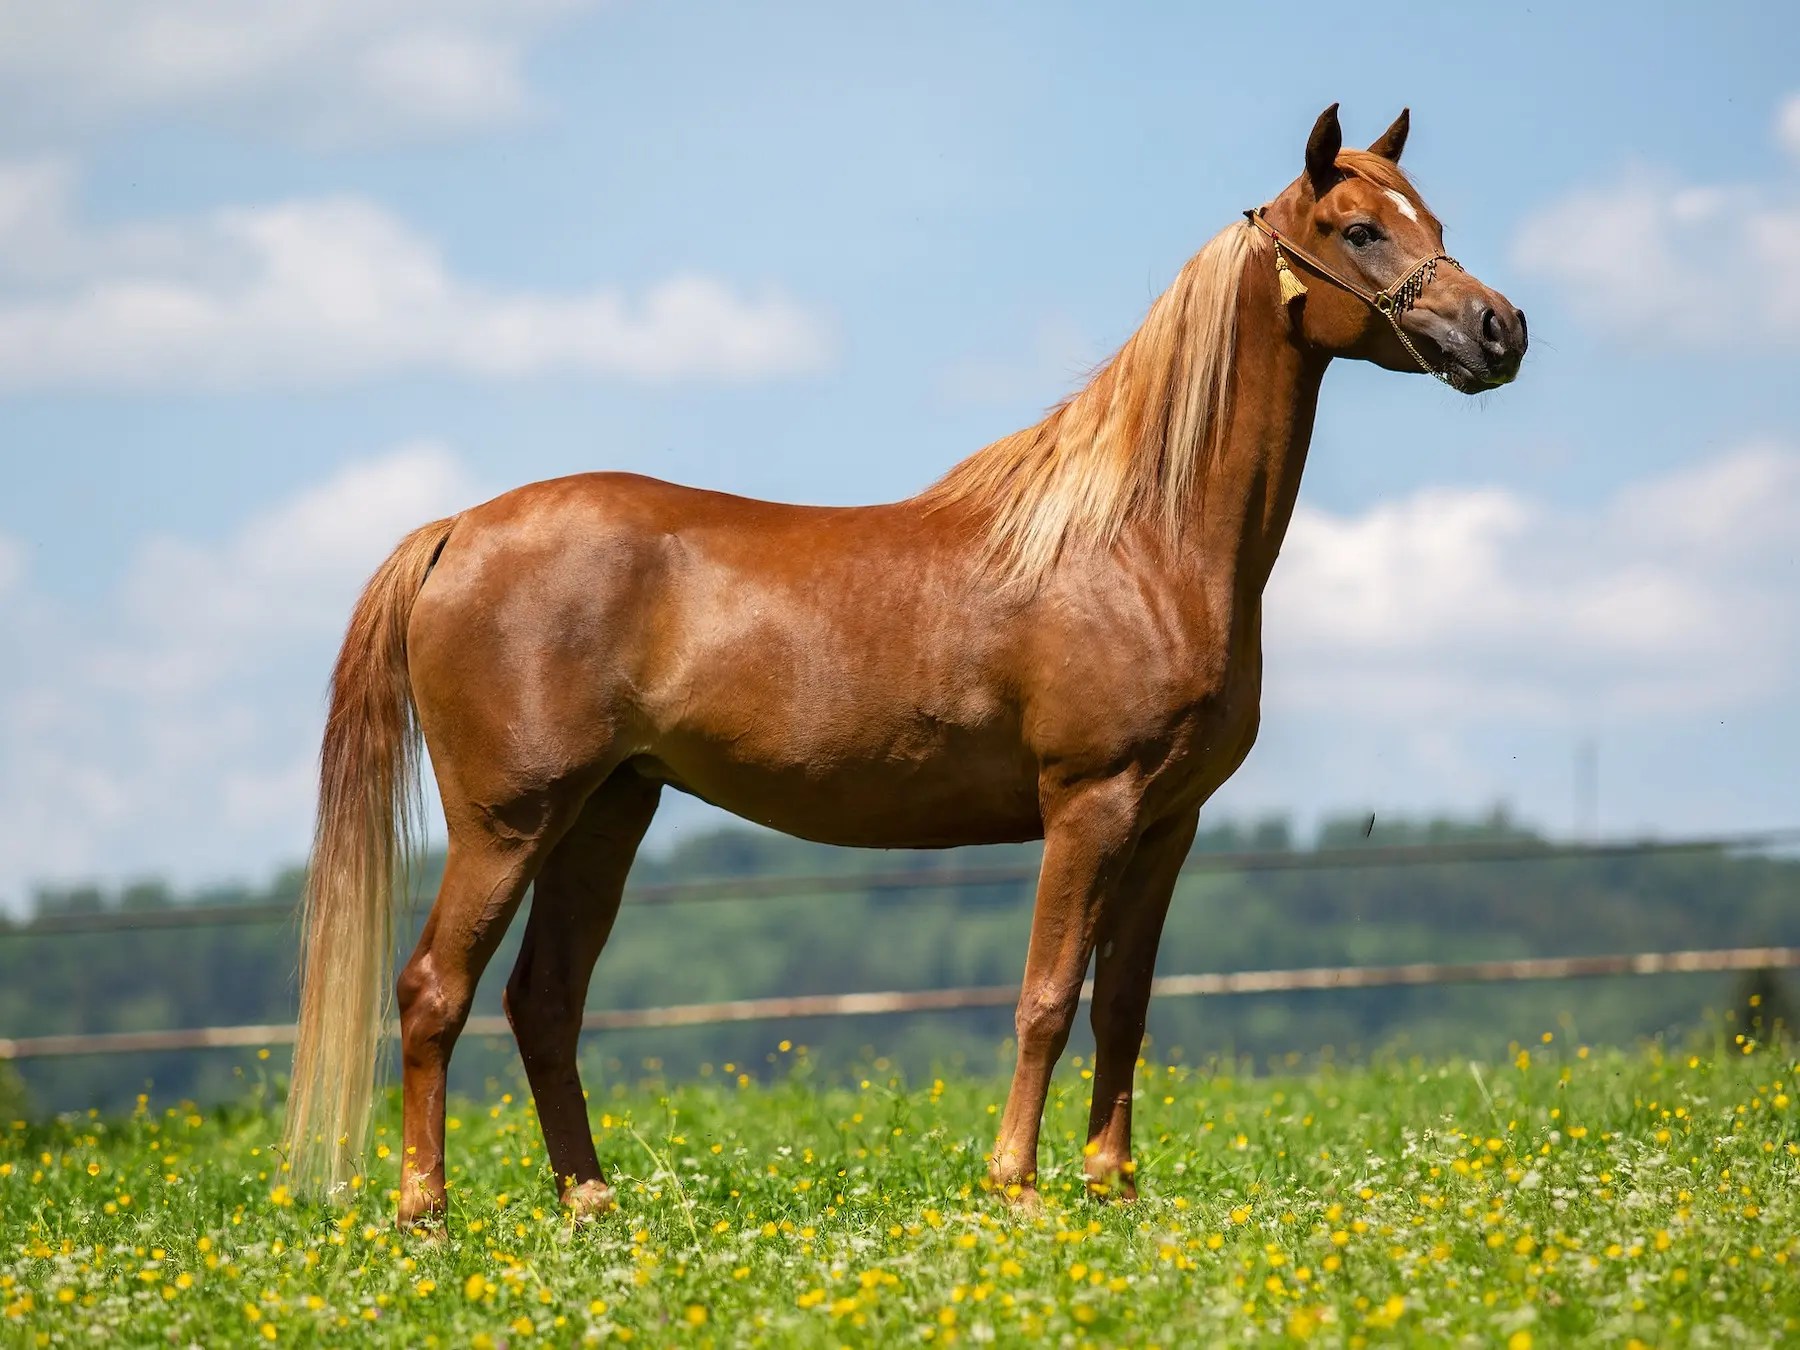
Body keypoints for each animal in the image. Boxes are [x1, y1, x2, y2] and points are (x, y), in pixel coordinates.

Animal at [283, 104, 1526, 1227]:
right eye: (1359, 229)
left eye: (1433, 219)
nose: (1500, 329)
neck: (1139, 540)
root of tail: (456, 530)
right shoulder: (1090, 805)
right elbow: (1045, 996)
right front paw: (1017, 1186)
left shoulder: (1169, 823)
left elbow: (1123, 1005)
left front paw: (1112, 1186)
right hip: (510, 821)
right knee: (433, 992)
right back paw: (426, 1211)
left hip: (605, 815)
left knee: (544, 1000)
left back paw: (589, 1201)